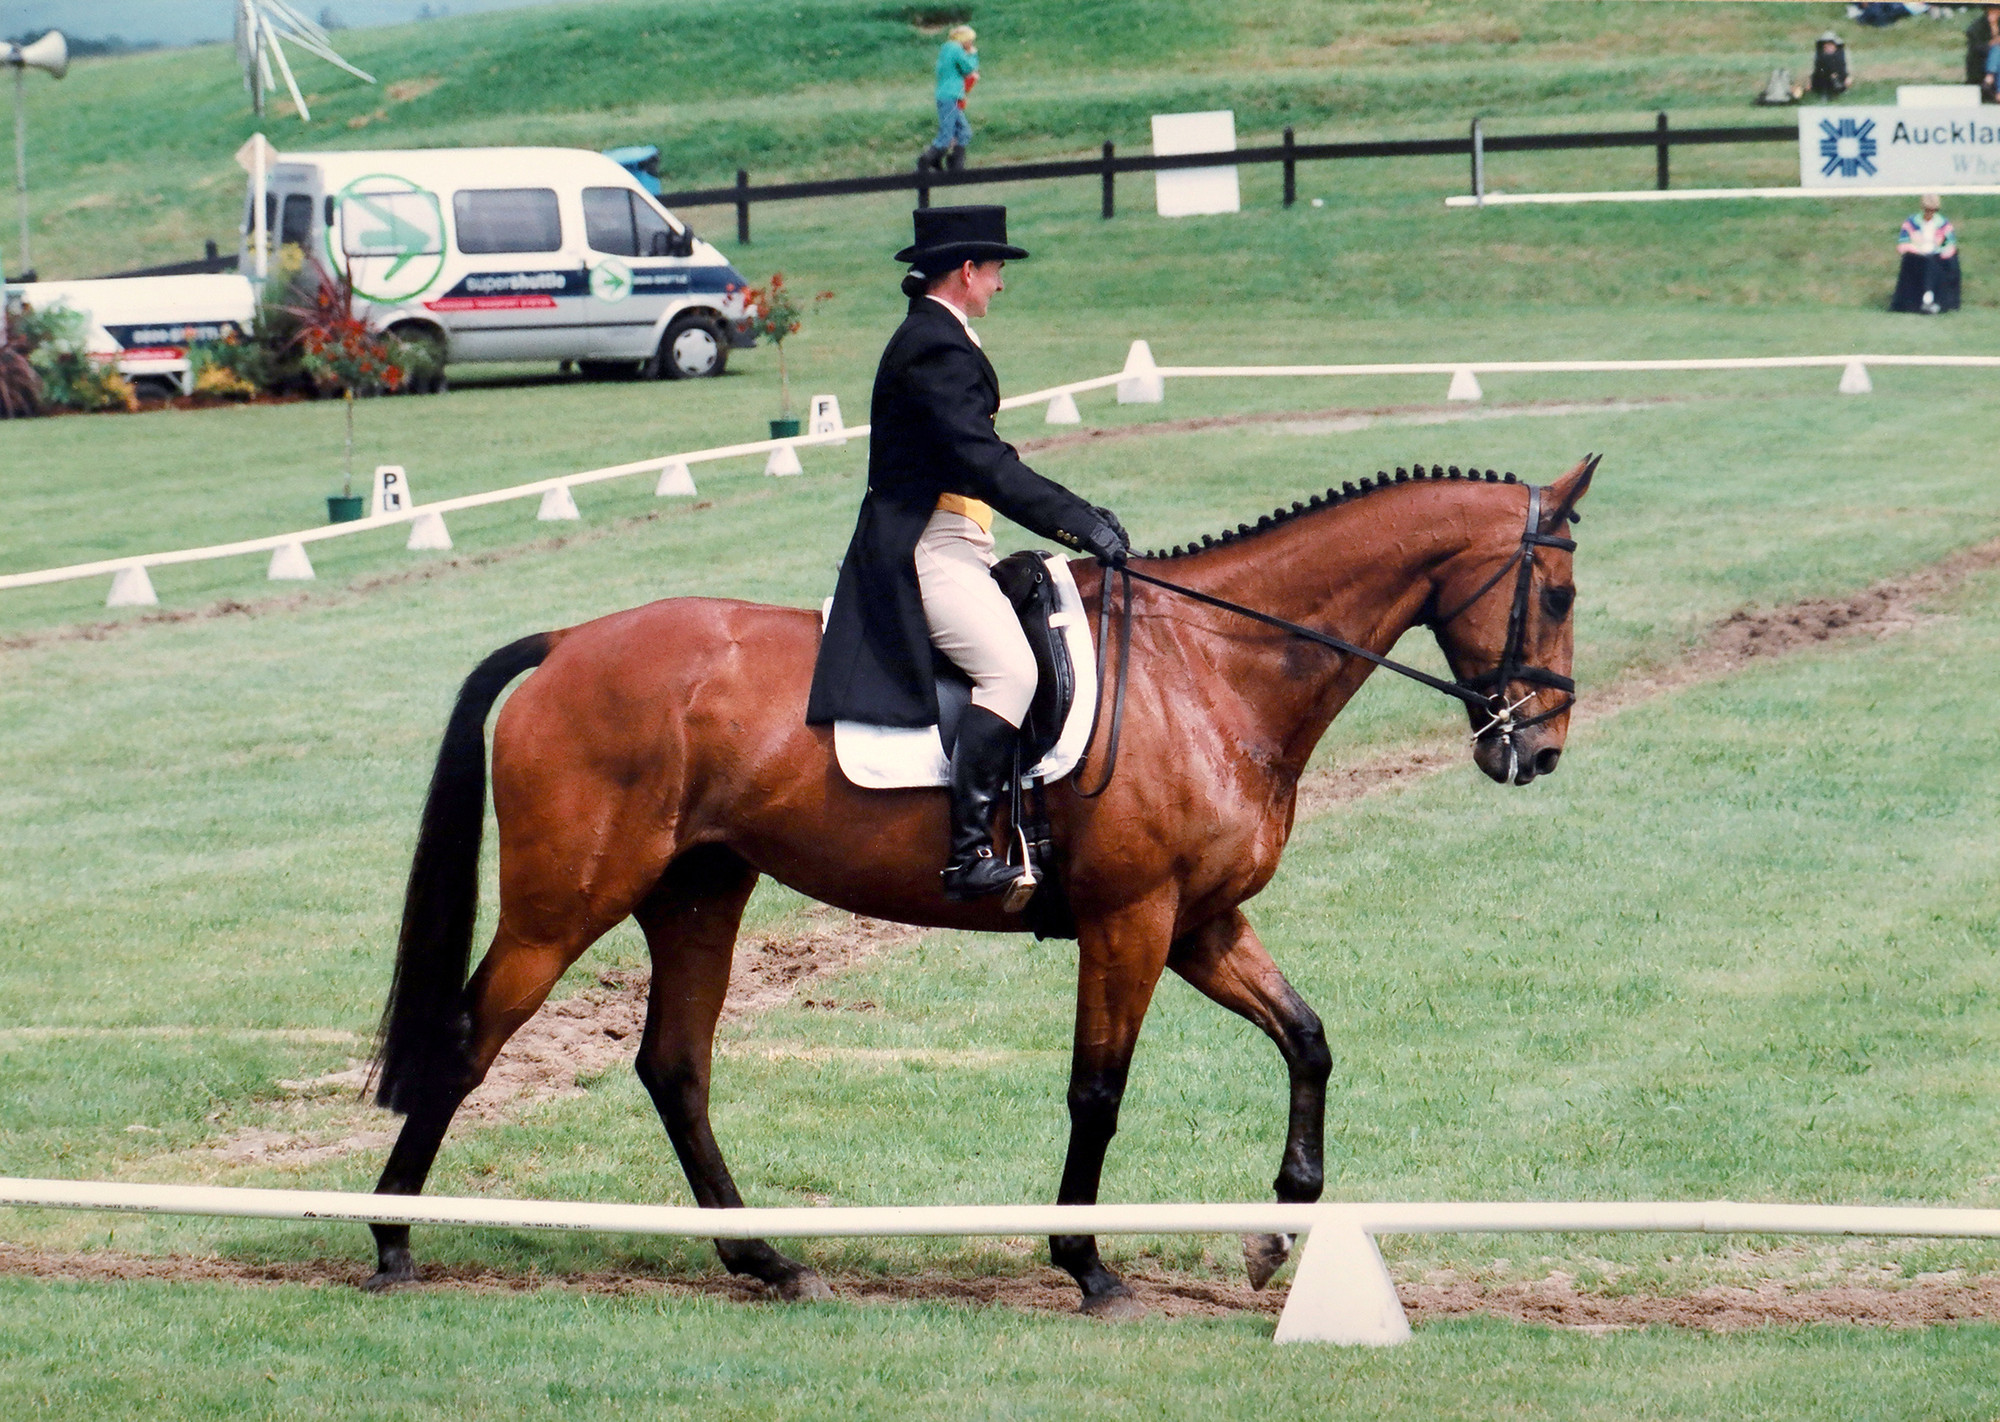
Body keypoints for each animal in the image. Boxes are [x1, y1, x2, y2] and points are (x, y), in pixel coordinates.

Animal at [364, 454, 1597, 1316]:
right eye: (1560, 593)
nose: (1536, 751)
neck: (1210, 668)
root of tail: (569, 640)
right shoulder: (1131, 920)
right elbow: (1097, 1092)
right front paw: (1087, 1266)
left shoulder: (1200, 922)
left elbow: (1307, 1039)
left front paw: (1275, 1232)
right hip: (565, 902)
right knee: (471, 1041)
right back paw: (389, 1240)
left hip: (699, 892)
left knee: (674, 1067)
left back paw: (767, 1262)